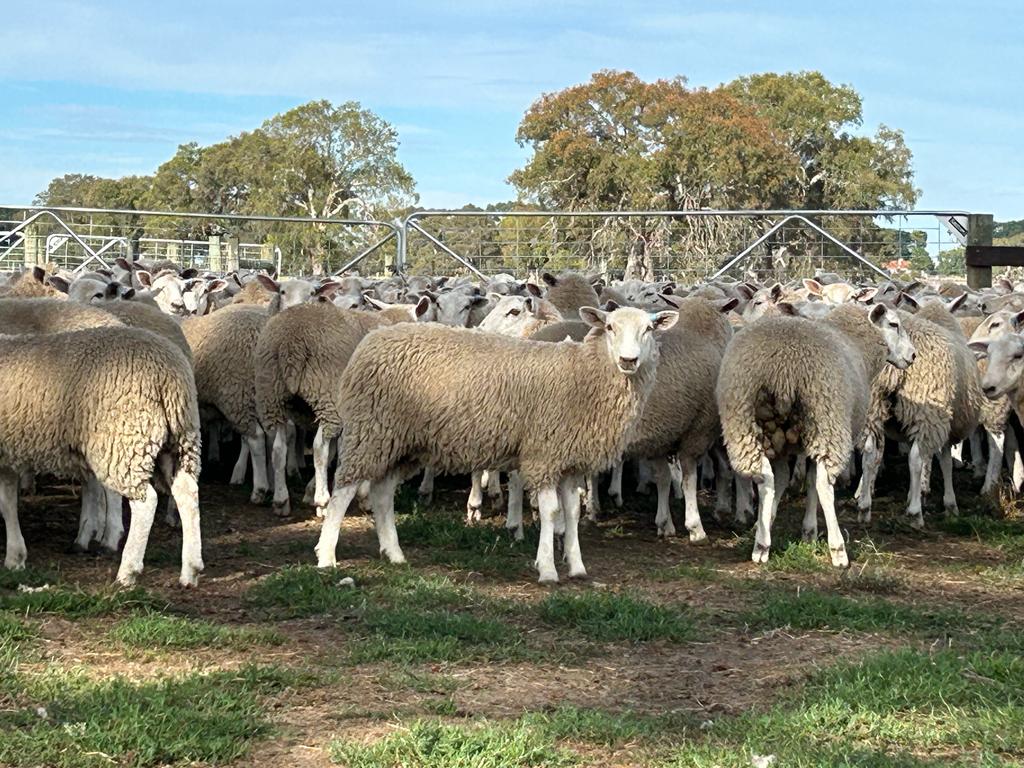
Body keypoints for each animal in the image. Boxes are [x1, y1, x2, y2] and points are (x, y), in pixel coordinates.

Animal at [0, 326, 203, 586]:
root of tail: (169, 373)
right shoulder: (7, 454)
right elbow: (7, 504)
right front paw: (15, 557)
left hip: (125, 439)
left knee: (146, 502)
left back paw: (127, 572)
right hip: (178, 439)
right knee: (187, 492)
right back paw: (190, 570)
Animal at [315, 305, 678, 583]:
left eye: (649, 329)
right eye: (610, 327)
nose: (629, 360)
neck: (584, 375)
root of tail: (372, 339)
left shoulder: (569, 460)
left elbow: (573, 511)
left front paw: (577, 567)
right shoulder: (543, 454)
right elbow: (551, 511)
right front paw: (547, 569)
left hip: (402, 442)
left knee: (382, 493)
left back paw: (394, 554)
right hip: (371, 431)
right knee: (344, 490)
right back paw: (327, 556)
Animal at [717, 303, 916, 566]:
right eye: (894, 324)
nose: (913, 356)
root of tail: (783, 369)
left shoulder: (785, 445)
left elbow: (782, 480)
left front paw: (766, 522)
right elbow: (812, 483)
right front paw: (809, 532)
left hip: (742, 423)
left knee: (764, 477)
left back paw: (761, 545)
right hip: (827, 421)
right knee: (823, 484)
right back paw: (838, 549)